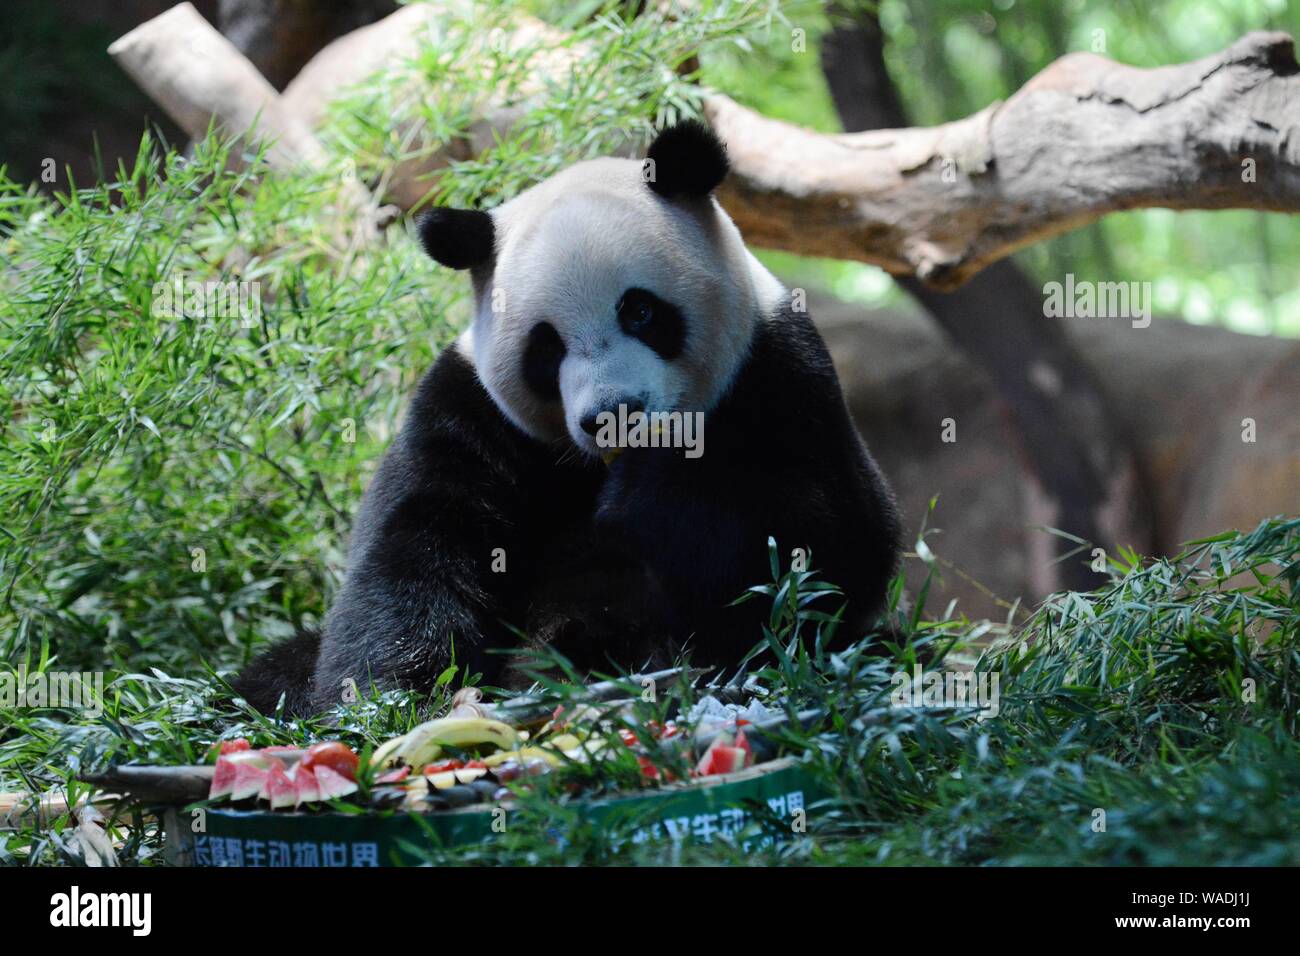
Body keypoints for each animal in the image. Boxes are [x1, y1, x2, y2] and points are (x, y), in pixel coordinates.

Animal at [234, 122, 900, 715]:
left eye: (640, 311)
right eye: (546, 347)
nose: (613, 415)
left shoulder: (778, 380)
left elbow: (806, 542)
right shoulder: (471, 413)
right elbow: (417, 547)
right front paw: (396, 701)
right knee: (272, 672)